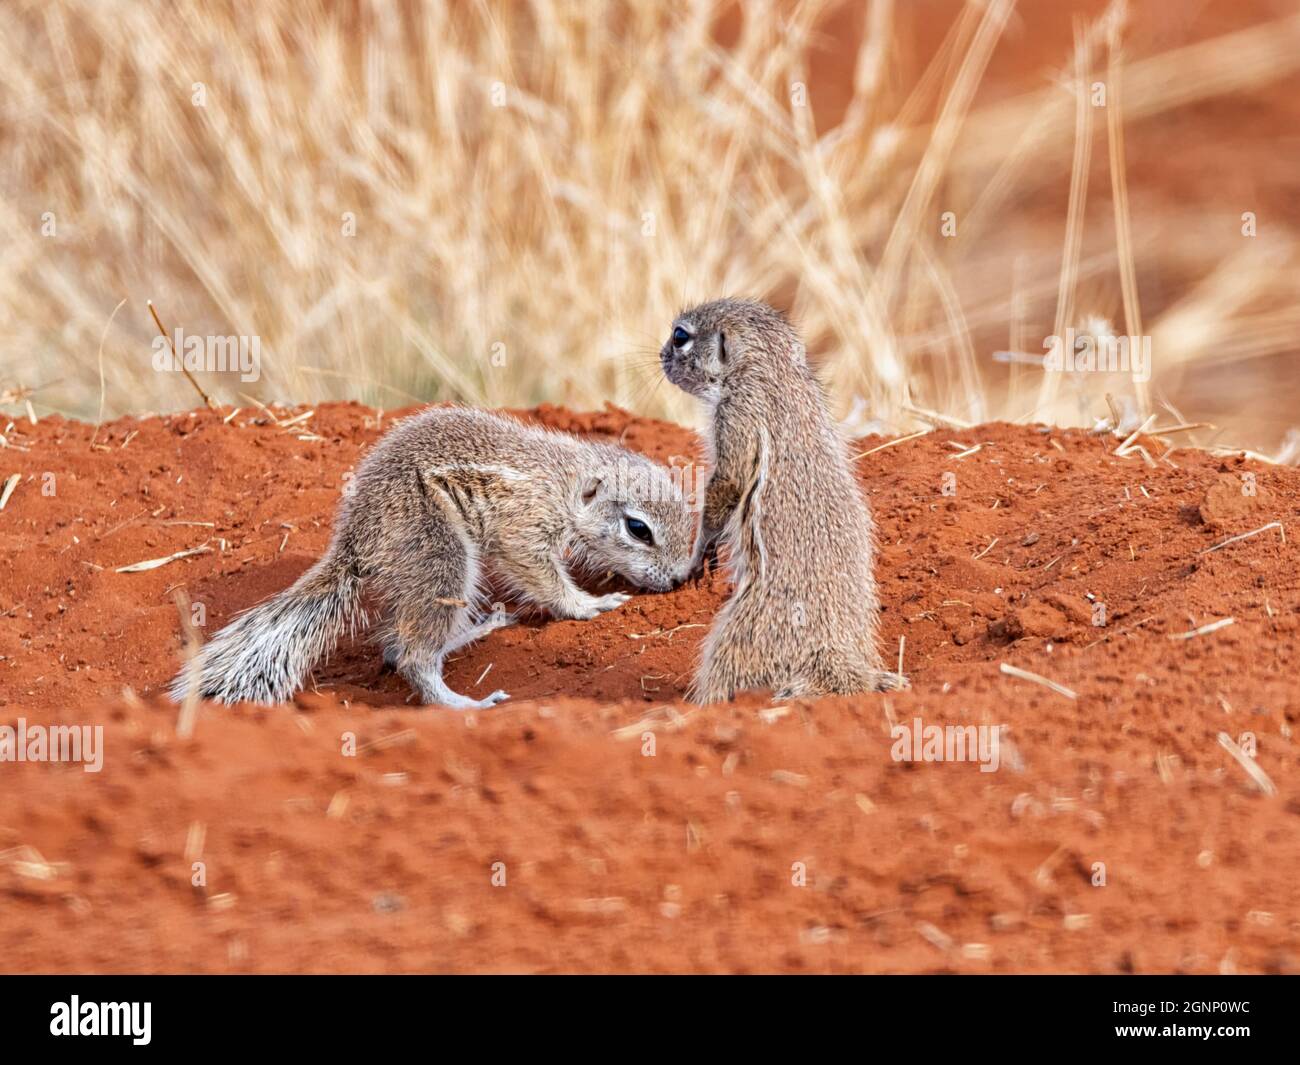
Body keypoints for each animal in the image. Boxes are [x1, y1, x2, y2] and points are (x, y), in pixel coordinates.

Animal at [169, 407, 698, 710]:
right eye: (638, 529)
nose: (676, 579)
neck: (568, 482)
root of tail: (353, 542)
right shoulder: (525, 529)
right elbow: (542, 577)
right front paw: (589, 604)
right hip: (441, 555)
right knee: (411, 656)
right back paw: (465, 703)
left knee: (395, 644)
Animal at [659, 298, 904, 702]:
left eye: (681, 336)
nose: (661, 355)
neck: (773, 370)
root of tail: (837, 654)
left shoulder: (736, 416)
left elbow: (727, 484)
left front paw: (698, 552)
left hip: (739, 634)